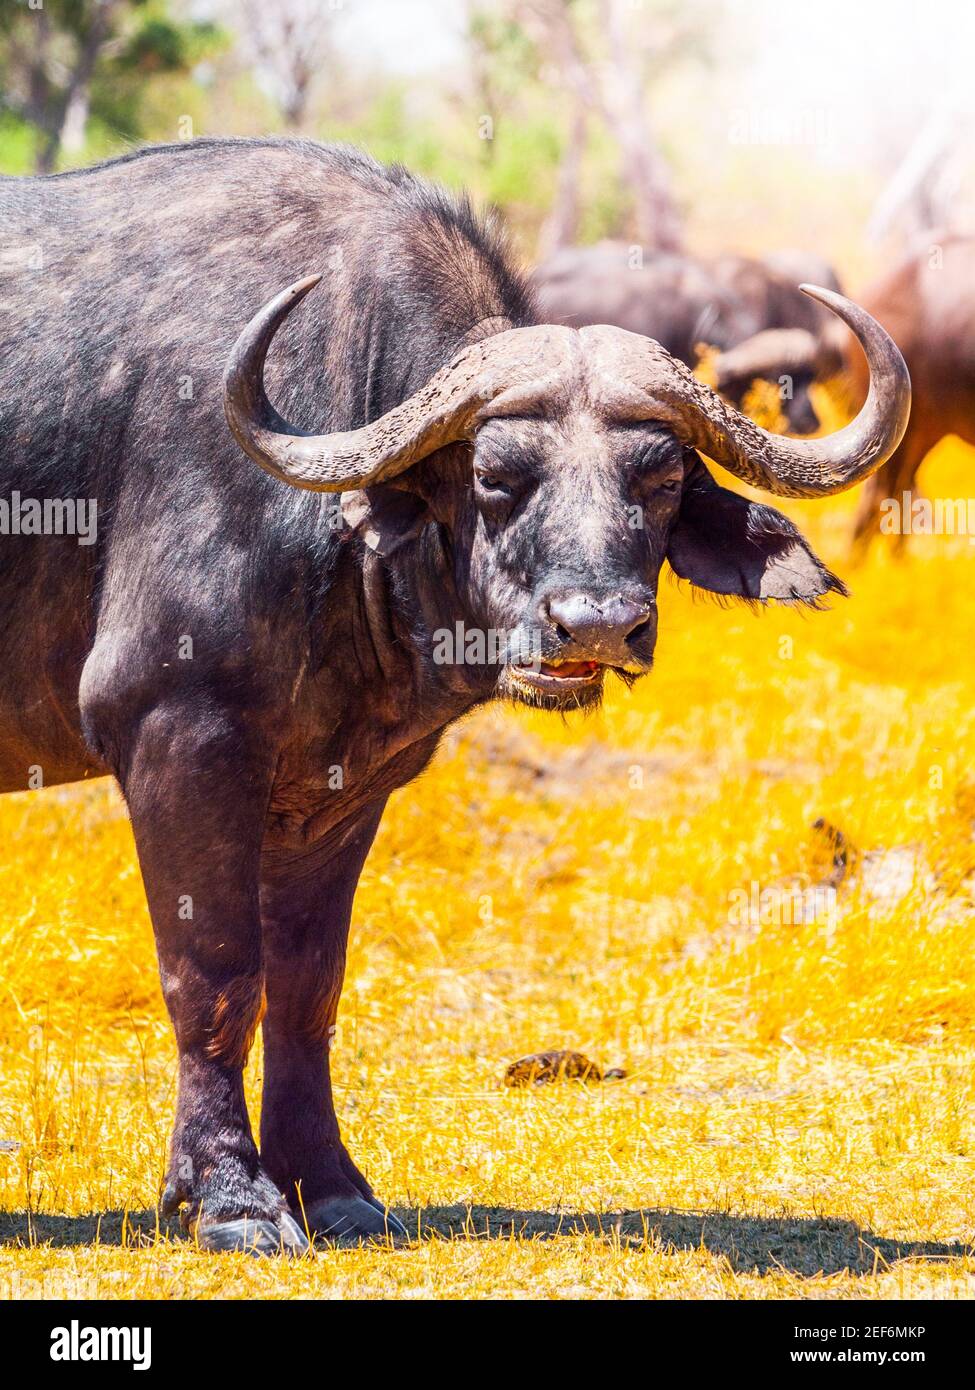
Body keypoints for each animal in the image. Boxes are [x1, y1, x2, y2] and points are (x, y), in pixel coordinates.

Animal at [0, 138, 909, 1254]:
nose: (594, 624)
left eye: (657, 477)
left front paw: (328, 1184)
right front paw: (230, 1197)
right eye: (495, 476)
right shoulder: (179, 732)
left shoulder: (337, 788)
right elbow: (213, 971)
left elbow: (305, 984)